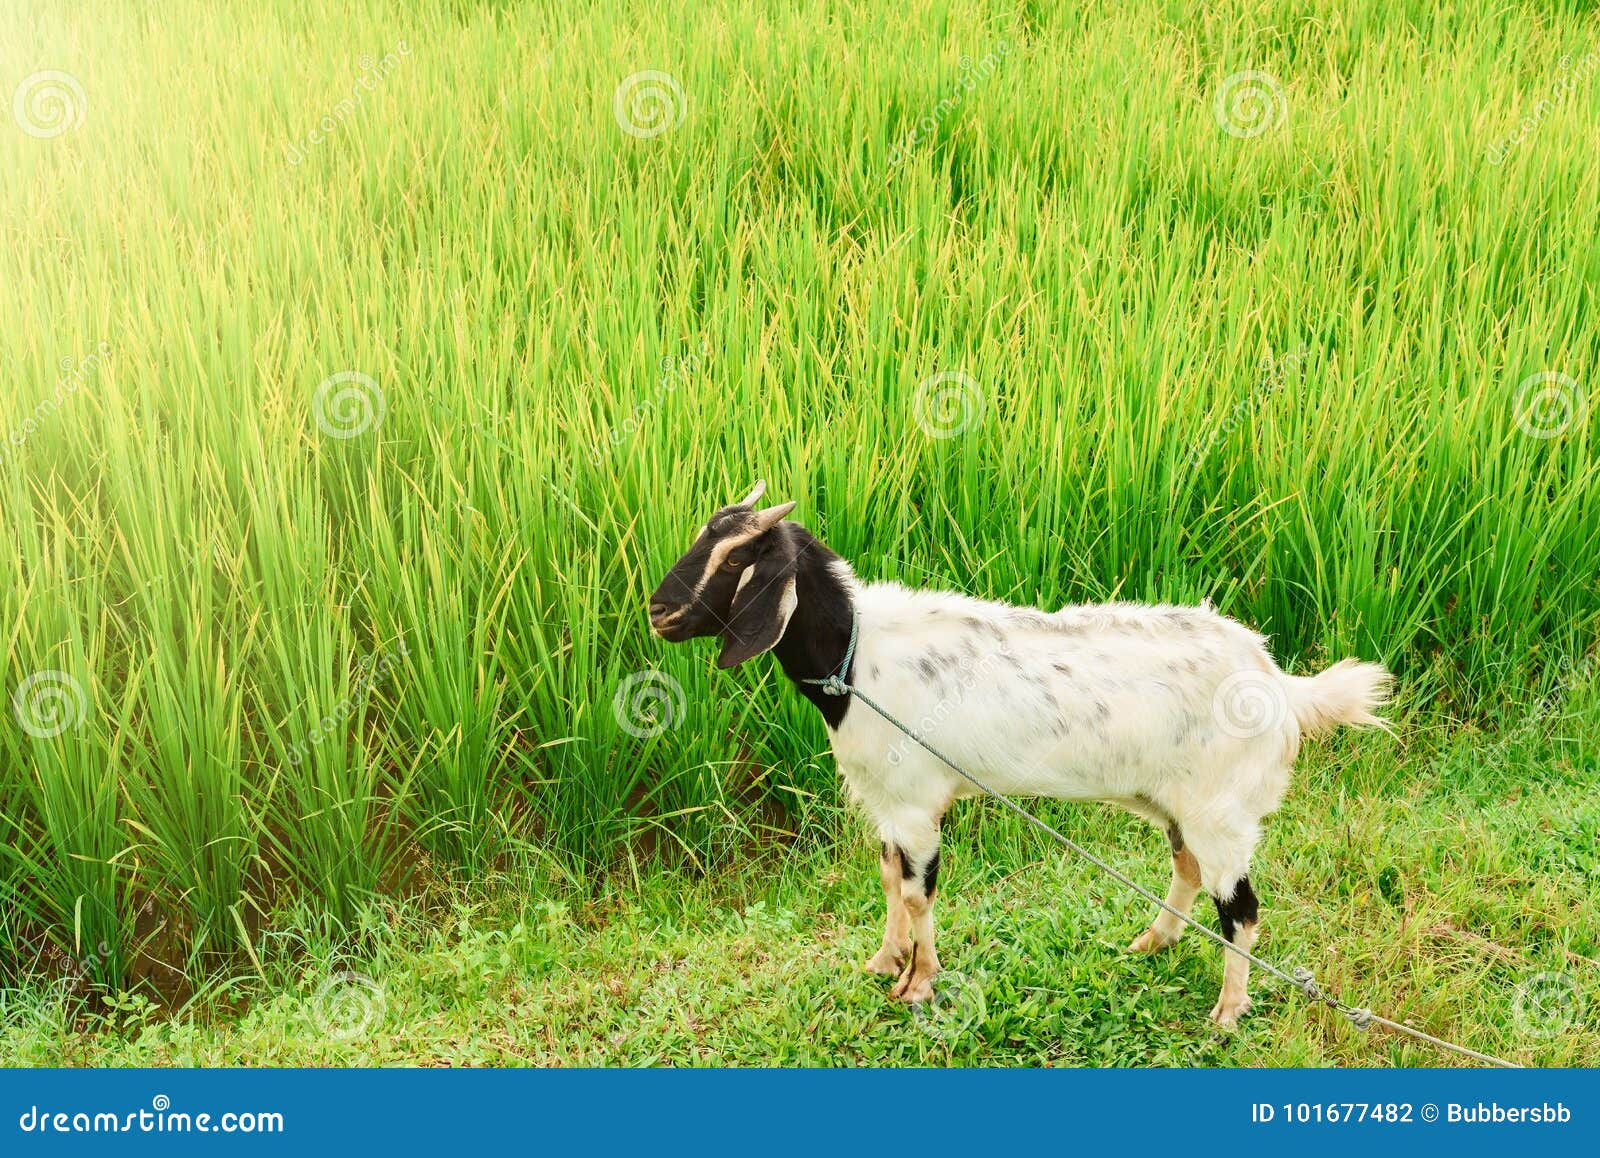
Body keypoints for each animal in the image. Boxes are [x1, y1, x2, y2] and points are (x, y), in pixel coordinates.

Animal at [648, 482, 1392, 1025]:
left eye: (737, 558)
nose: (658, 612)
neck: (857, 661)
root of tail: (1279, 683)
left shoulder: (917, 805)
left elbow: (917, 892)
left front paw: (919, 986)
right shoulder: (886, 801)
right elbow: (888, 880)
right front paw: (886, 962)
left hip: (1223, 809)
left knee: (1241, 909)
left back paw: (1228, 1011)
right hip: (1176, 800)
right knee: (1186, 866)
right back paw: (1154, 942)